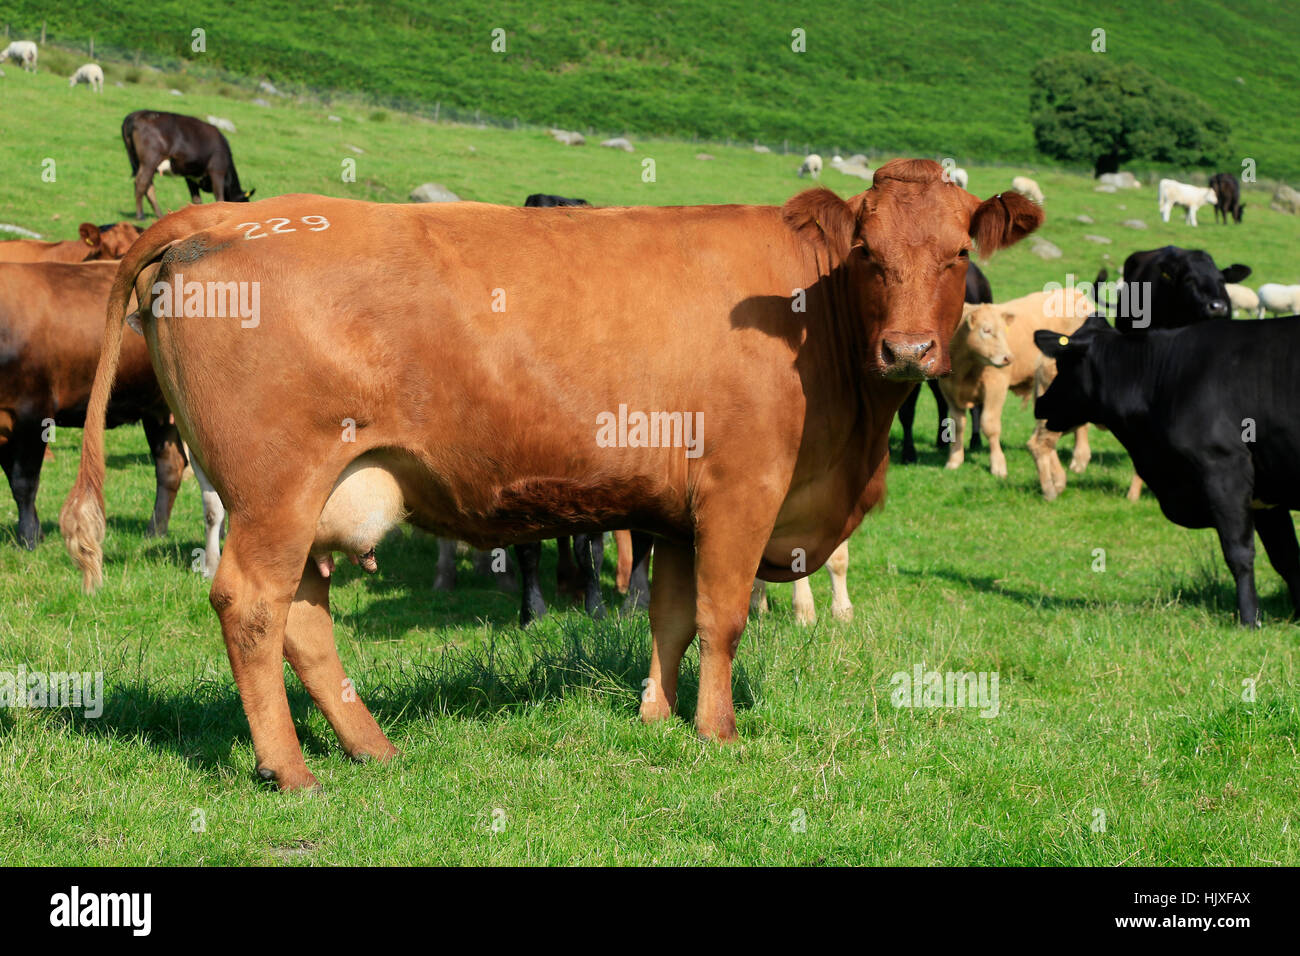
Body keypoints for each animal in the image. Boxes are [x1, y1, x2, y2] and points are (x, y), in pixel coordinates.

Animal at [1, 262, 185, 549]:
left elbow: (23, 482)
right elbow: (12, 478)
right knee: (170, 465)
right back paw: (155, 531)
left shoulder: (34, 410)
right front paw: (36, 533)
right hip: (159, 410)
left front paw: (28, 538)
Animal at [121, 110, 254, 220]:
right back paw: (140, 215)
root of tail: (136, 114)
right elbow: (219, 197)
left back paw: (160, 215)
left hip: (140, 162)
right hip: (150, 160)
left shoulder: (191, 176)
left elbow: (196, 200)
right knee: (141, 183)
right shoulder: (217, 171)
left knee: (149, 186)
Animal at [1036, 314, 1300, 627]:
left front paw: (1249, 620)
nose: (1040, 403)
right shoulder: (1267, 496)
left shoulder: (1224, 469)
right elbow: (1287, 559)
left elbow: (1239, 552)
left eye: (1063, 364)